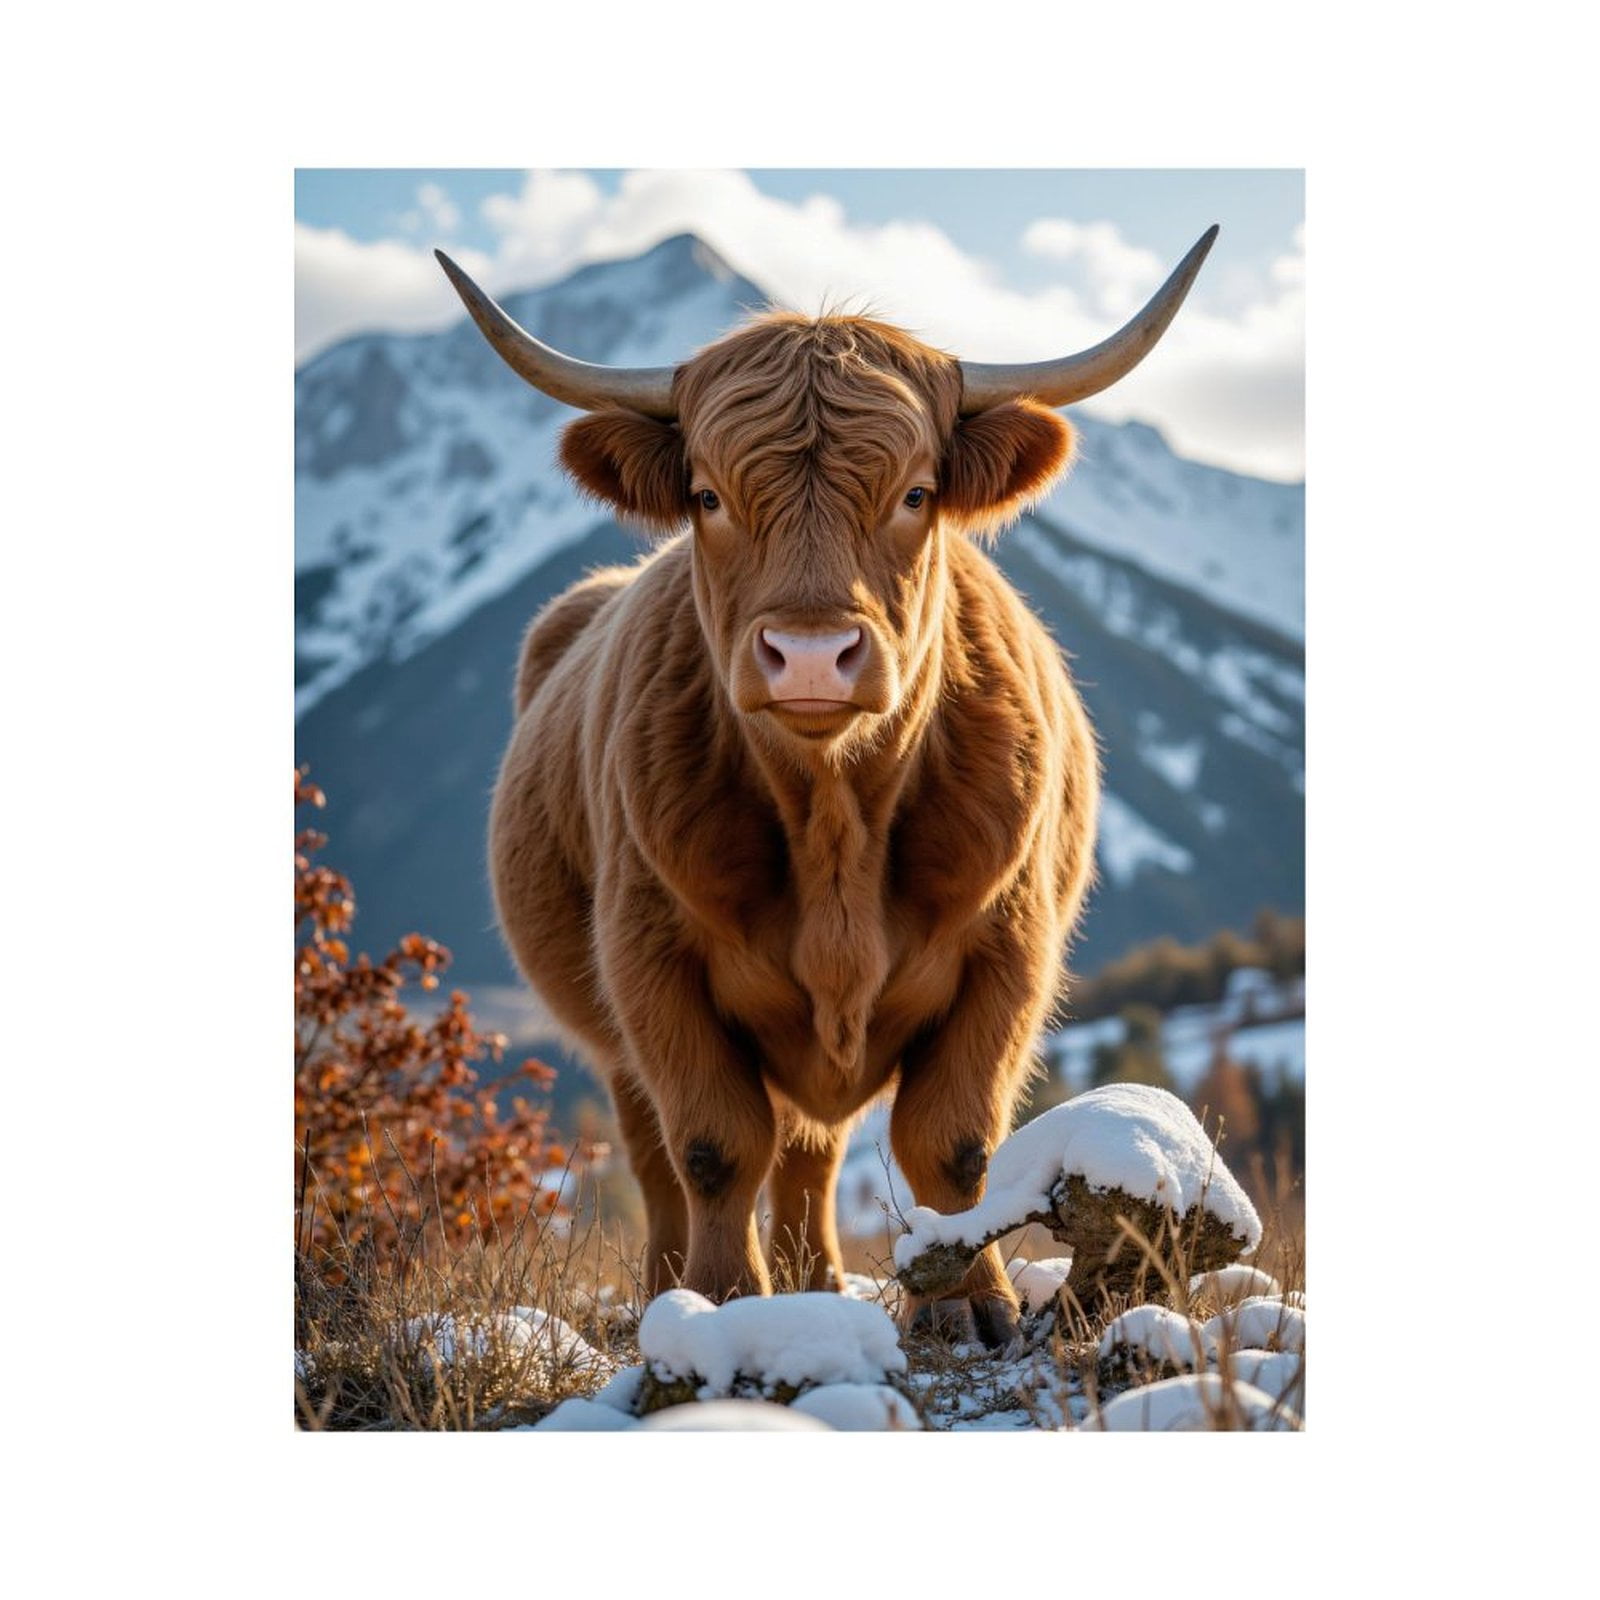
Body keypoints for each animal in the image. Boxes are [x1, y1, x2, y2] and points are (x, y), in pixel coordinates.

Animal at [436, 227, 1216, 1345]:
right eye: (708, 496)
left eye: (916, 493)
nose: (810, 655)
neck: (835, 819)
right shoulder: (650, 960)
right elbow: (714, 1145)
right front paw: (719, 1304)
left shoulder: (1007, 954)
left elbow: (953, 1143)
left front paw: (970, 1304)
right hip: (612, 1030)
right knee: (662, 1153)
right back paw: (670, 1287)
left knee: (810, 1152)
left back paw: (817, 1282)